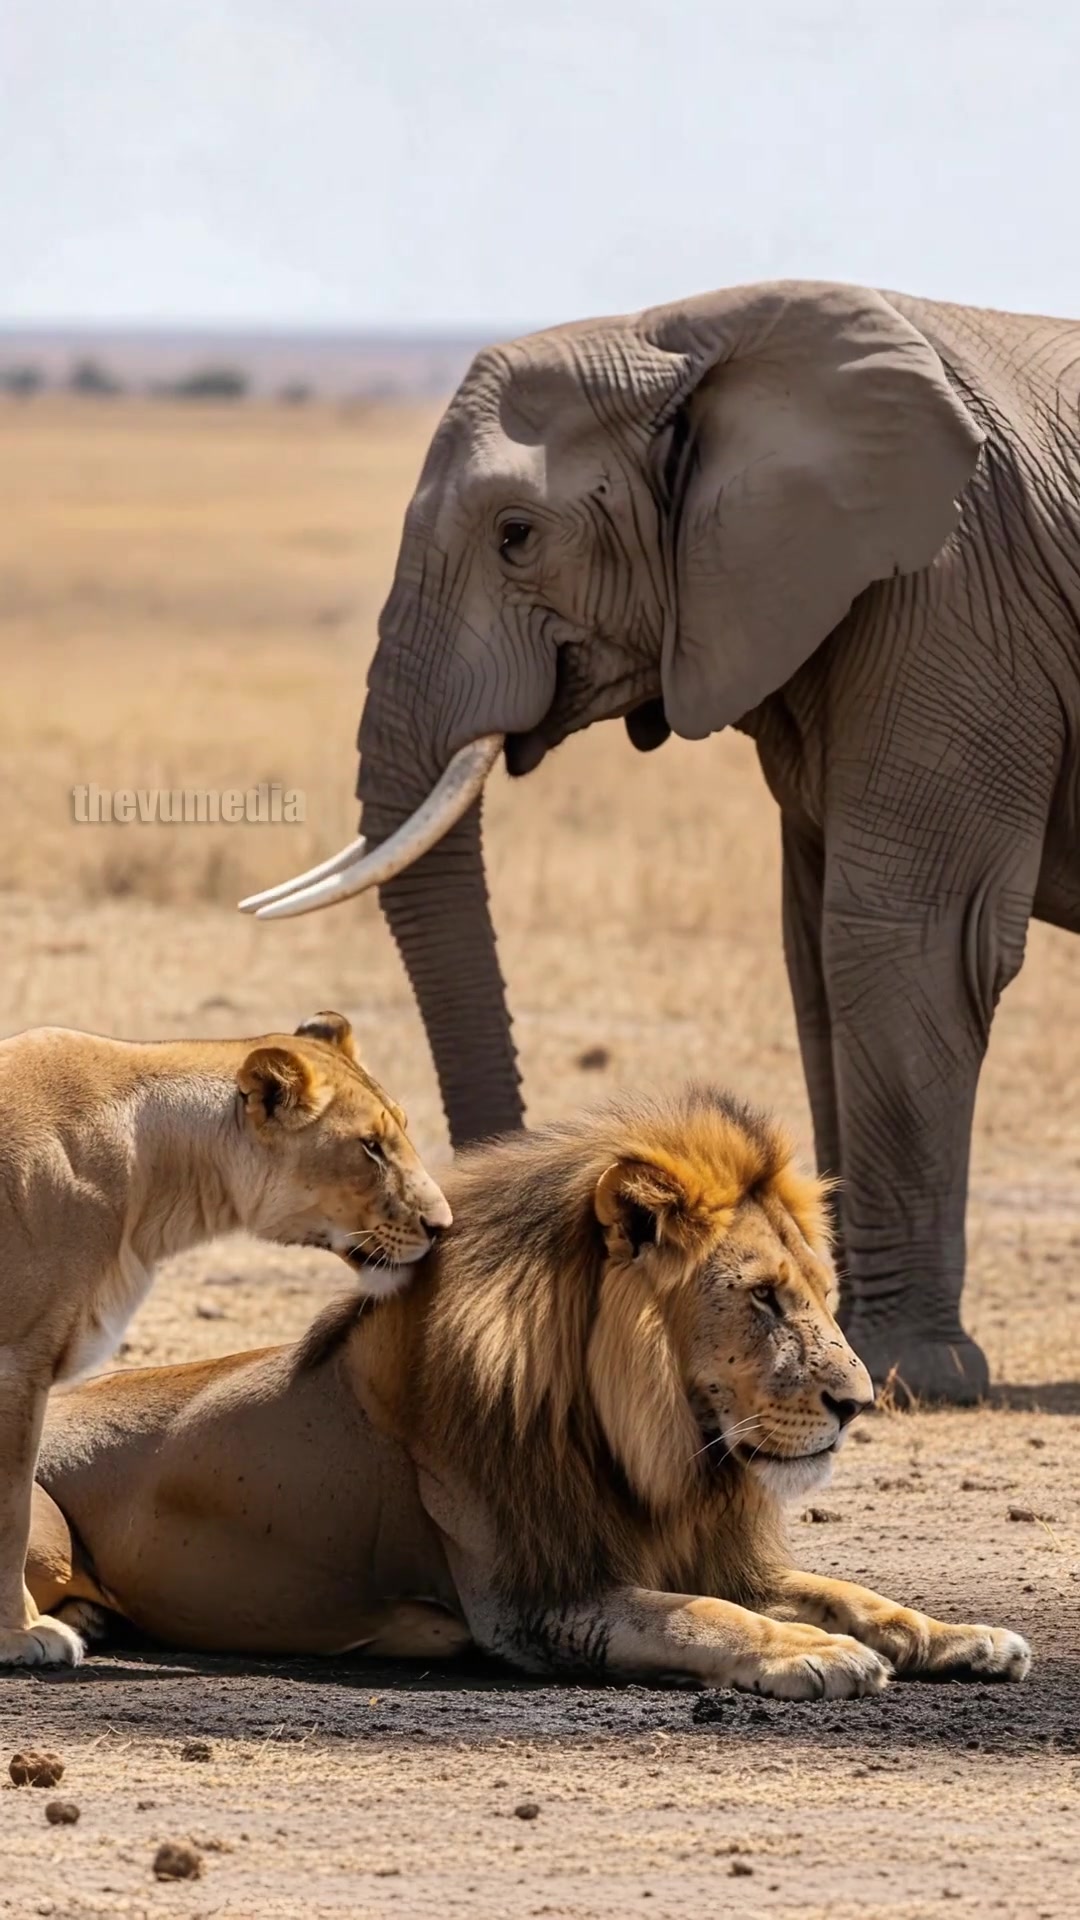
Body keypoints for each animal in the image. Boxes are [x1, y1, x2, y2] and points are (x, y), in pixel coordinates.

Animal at [27, 1085, 1028, 1697]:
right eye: (764, 1297)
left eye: (820, 1292)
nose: (859, 1404)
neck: (660, 1453)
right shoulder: (535, 1603)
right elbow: (702, 1617)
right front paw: (816, 1656)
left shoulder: (700, 1552)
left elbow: (844, 1591)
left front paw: (965, 1636)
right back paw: (44, 1635)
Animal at [242, 279, 1080, 1406]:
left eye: (516, 534)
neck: (691, 334)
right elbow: (814, 952)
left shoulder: (951, 602)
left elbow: (904, 942)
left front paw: (916, 1373)